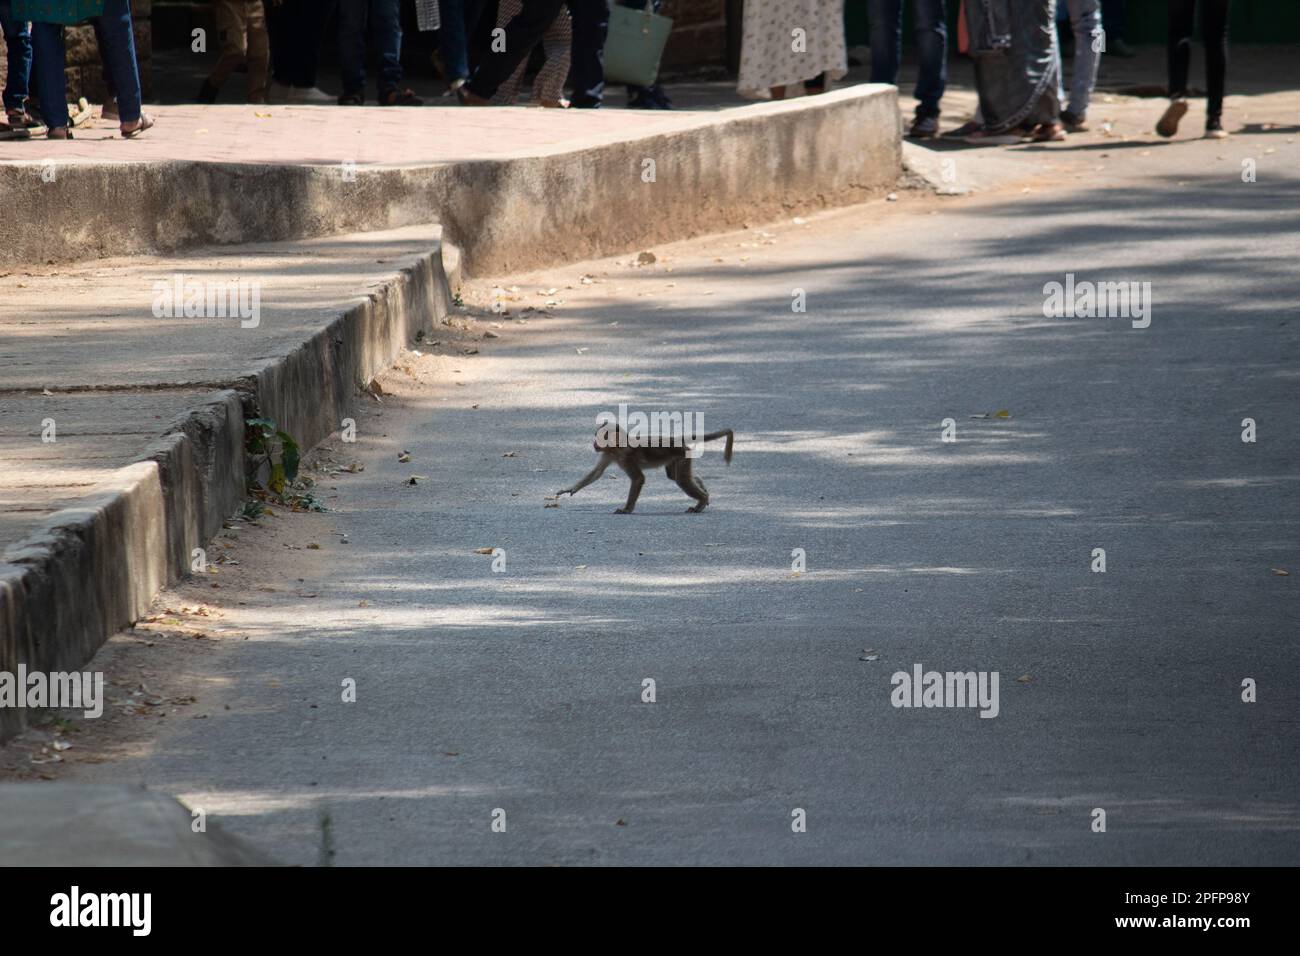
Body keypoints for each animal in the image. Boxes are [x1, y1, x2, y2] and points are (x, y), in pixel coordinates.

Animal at [557, 425, 734, 514]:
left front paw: (627, 509)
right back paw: (702, 488)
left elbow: (638, 479)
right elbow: (596, 473)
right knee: (675, 476)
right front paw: (570, 489)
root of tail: (676, 440)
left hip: (682, 454)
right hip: (678, 457)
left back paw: (702, 500)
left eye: (598, 437)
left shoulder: (625, 457)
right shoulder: (609, 454)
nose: (594, 443)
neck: (617, 447)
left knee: (681, 480)